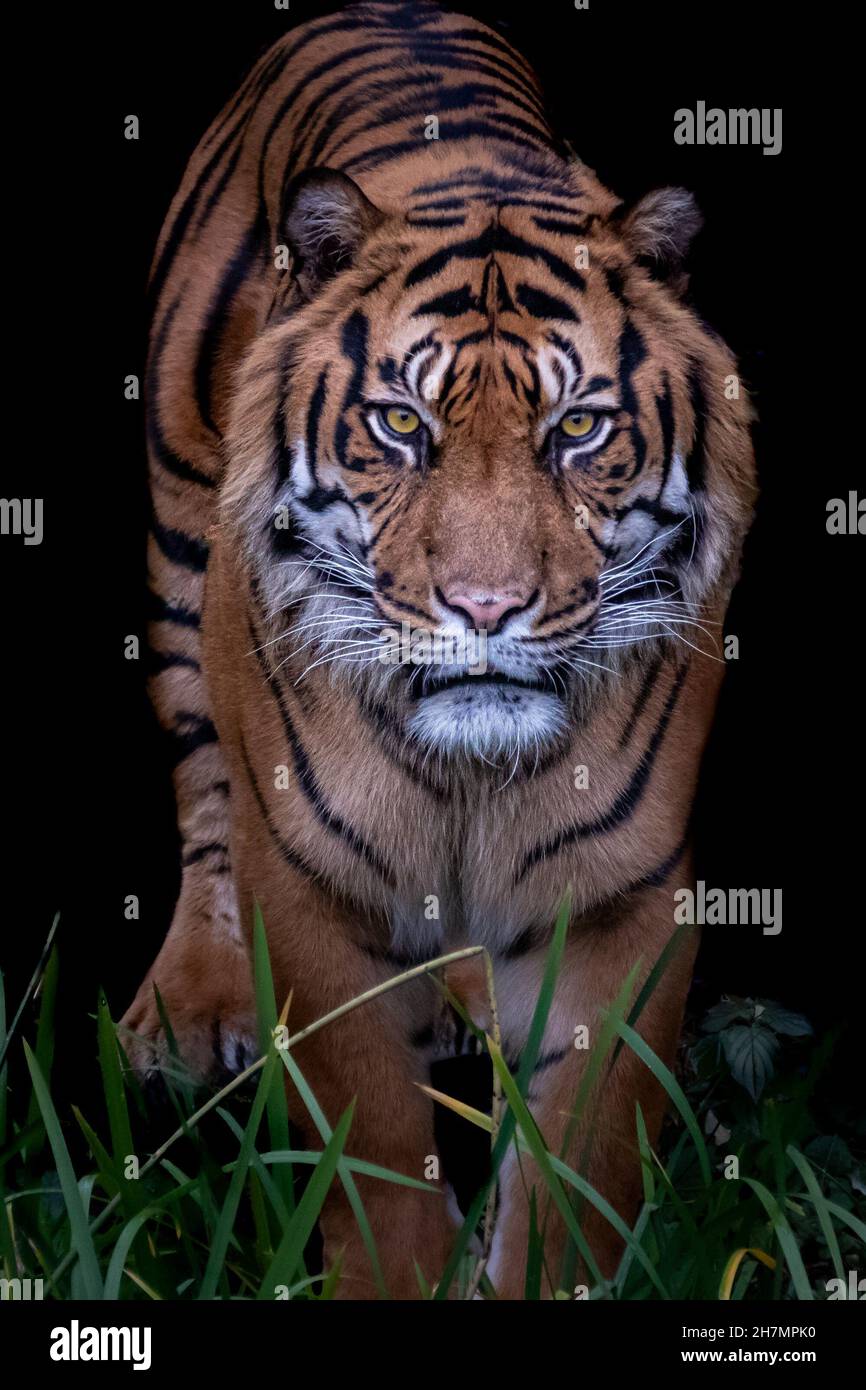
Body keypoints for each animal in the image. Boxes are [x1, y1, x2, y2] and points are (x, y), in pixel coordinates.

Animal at [121, 0, 757, 1299]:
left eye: (578, 429)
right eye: (399, 424)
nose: (484, 603)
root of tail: (384, 6)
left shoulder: (624, 896)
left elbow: (581, 1157)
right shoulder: (305, 877)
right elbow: (369, 1141)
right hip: (175, 516)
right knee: (198, 773)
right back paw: (185, 1010)